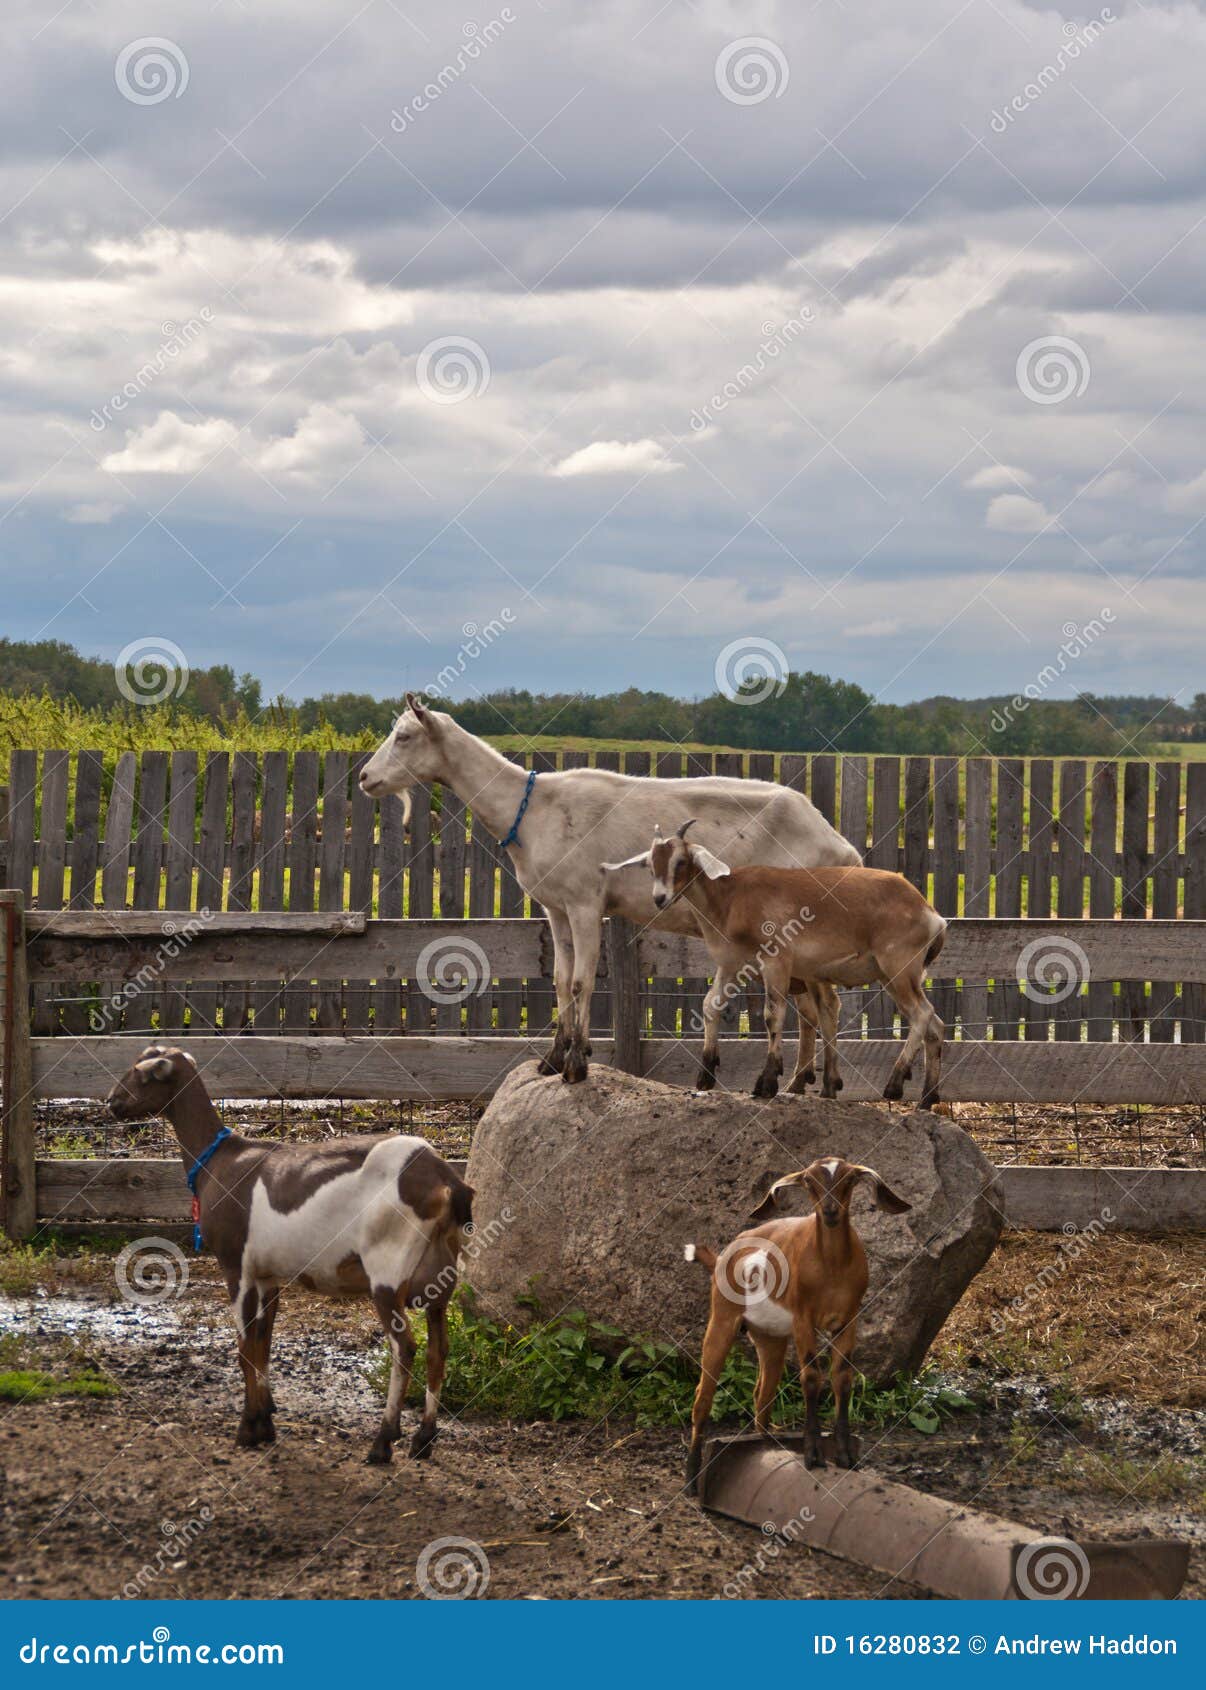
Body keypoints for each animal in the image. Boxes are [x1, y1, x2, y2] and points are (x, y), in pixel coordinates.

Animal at [106, 1045, 473, 1465]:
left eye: (141, 1072)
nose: (112, 1102)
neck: (217, 1161)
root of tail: (448, 1181)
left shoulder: (237, 1266)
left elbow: (245, 1347)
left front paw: (248, 1427)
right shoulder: (269, 1276)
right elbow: (264, 1342)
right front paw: (265, 1419)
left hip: (388, 1268)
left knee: (404, 1347)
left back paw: (383, 1441)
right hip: (440, 1275)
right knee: (438, 1350)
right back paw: (423, 1440)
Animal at [359, 696, 860, 1085]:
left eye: (404, 736)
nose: (364, 778)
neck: (534, 811)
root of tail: (843, 848)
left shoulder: (586, 902)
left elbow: (583, 982)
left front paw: (577, 1065)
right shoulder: (556, 908)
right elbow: (560, 980)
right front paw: (552, 1060)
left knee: (824, 1005)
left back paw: (807, 1083)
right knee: (814, 1008)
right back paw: (803, 1084)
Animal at [613, 821, 946, 1108]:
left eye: (680, 861)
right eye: (651, 864)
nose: (660, 898)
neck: (731, 896)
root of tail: (930, 913)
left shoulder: (776, 963)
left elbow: (773, 1015)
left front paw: (767, 1083)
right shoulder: (732, 965)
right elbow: (710, 1005)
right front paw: (705, 1075)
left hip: (898, 970)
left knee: (922, 1014)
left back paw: (895, 1084)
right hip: (897, 976)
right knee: (936, 1026)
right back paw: (926, 1099)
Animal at [683, 1156, 912, 1486]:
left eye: (848, 1180)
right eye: (809, 1181)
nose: (830, 1211)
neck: (831, 1269)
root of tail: (721, 1257)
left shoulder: (848, 1320)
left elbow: (842, 1377)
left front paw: (845, 1457)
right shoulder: (804, 1319)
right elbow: (811, 1377)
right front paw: (813, 1456)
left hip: (770, 1338)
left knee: (762, 1395)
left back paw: (766, 1446)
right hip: (722, 1319)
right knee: (703, 1395)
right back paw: (691, 1480)